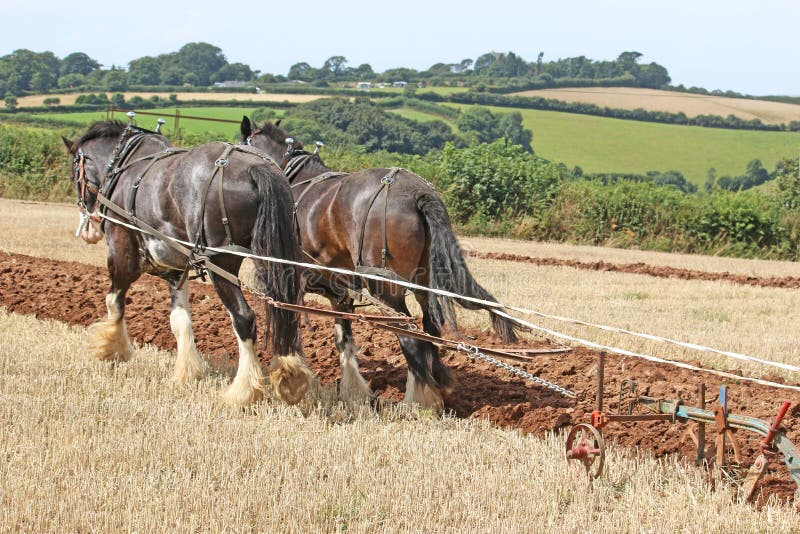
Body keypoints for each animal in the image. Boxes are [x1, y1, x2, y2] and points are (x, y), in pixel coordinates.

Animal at [63, 120, 312, 407]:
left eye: (74, 171)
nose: (88, 230)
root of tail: (254, 167)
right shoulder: (175, 270)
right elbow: (180, 320)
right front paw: (187, 372)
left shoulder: (122, 252)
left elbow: (114, 301)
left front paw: (112, 349)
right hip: (272, 258)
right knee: (286, 311)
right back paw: (290, 375)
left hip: (221, 264)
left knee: (244, 318)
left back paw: (243, 391)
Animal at [240, 117, 520, 411]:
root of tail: (417, 193)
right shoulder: (339, 291)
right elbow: (343, 338)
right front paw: (353, 390)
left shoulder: (287, 281)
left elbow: (289, 326)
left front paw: (291, 376)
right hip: (423, 285)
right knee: (429, 330)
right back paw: (437, 387)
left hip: (386, 289)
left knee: (409, 335)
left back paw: (417, 401)